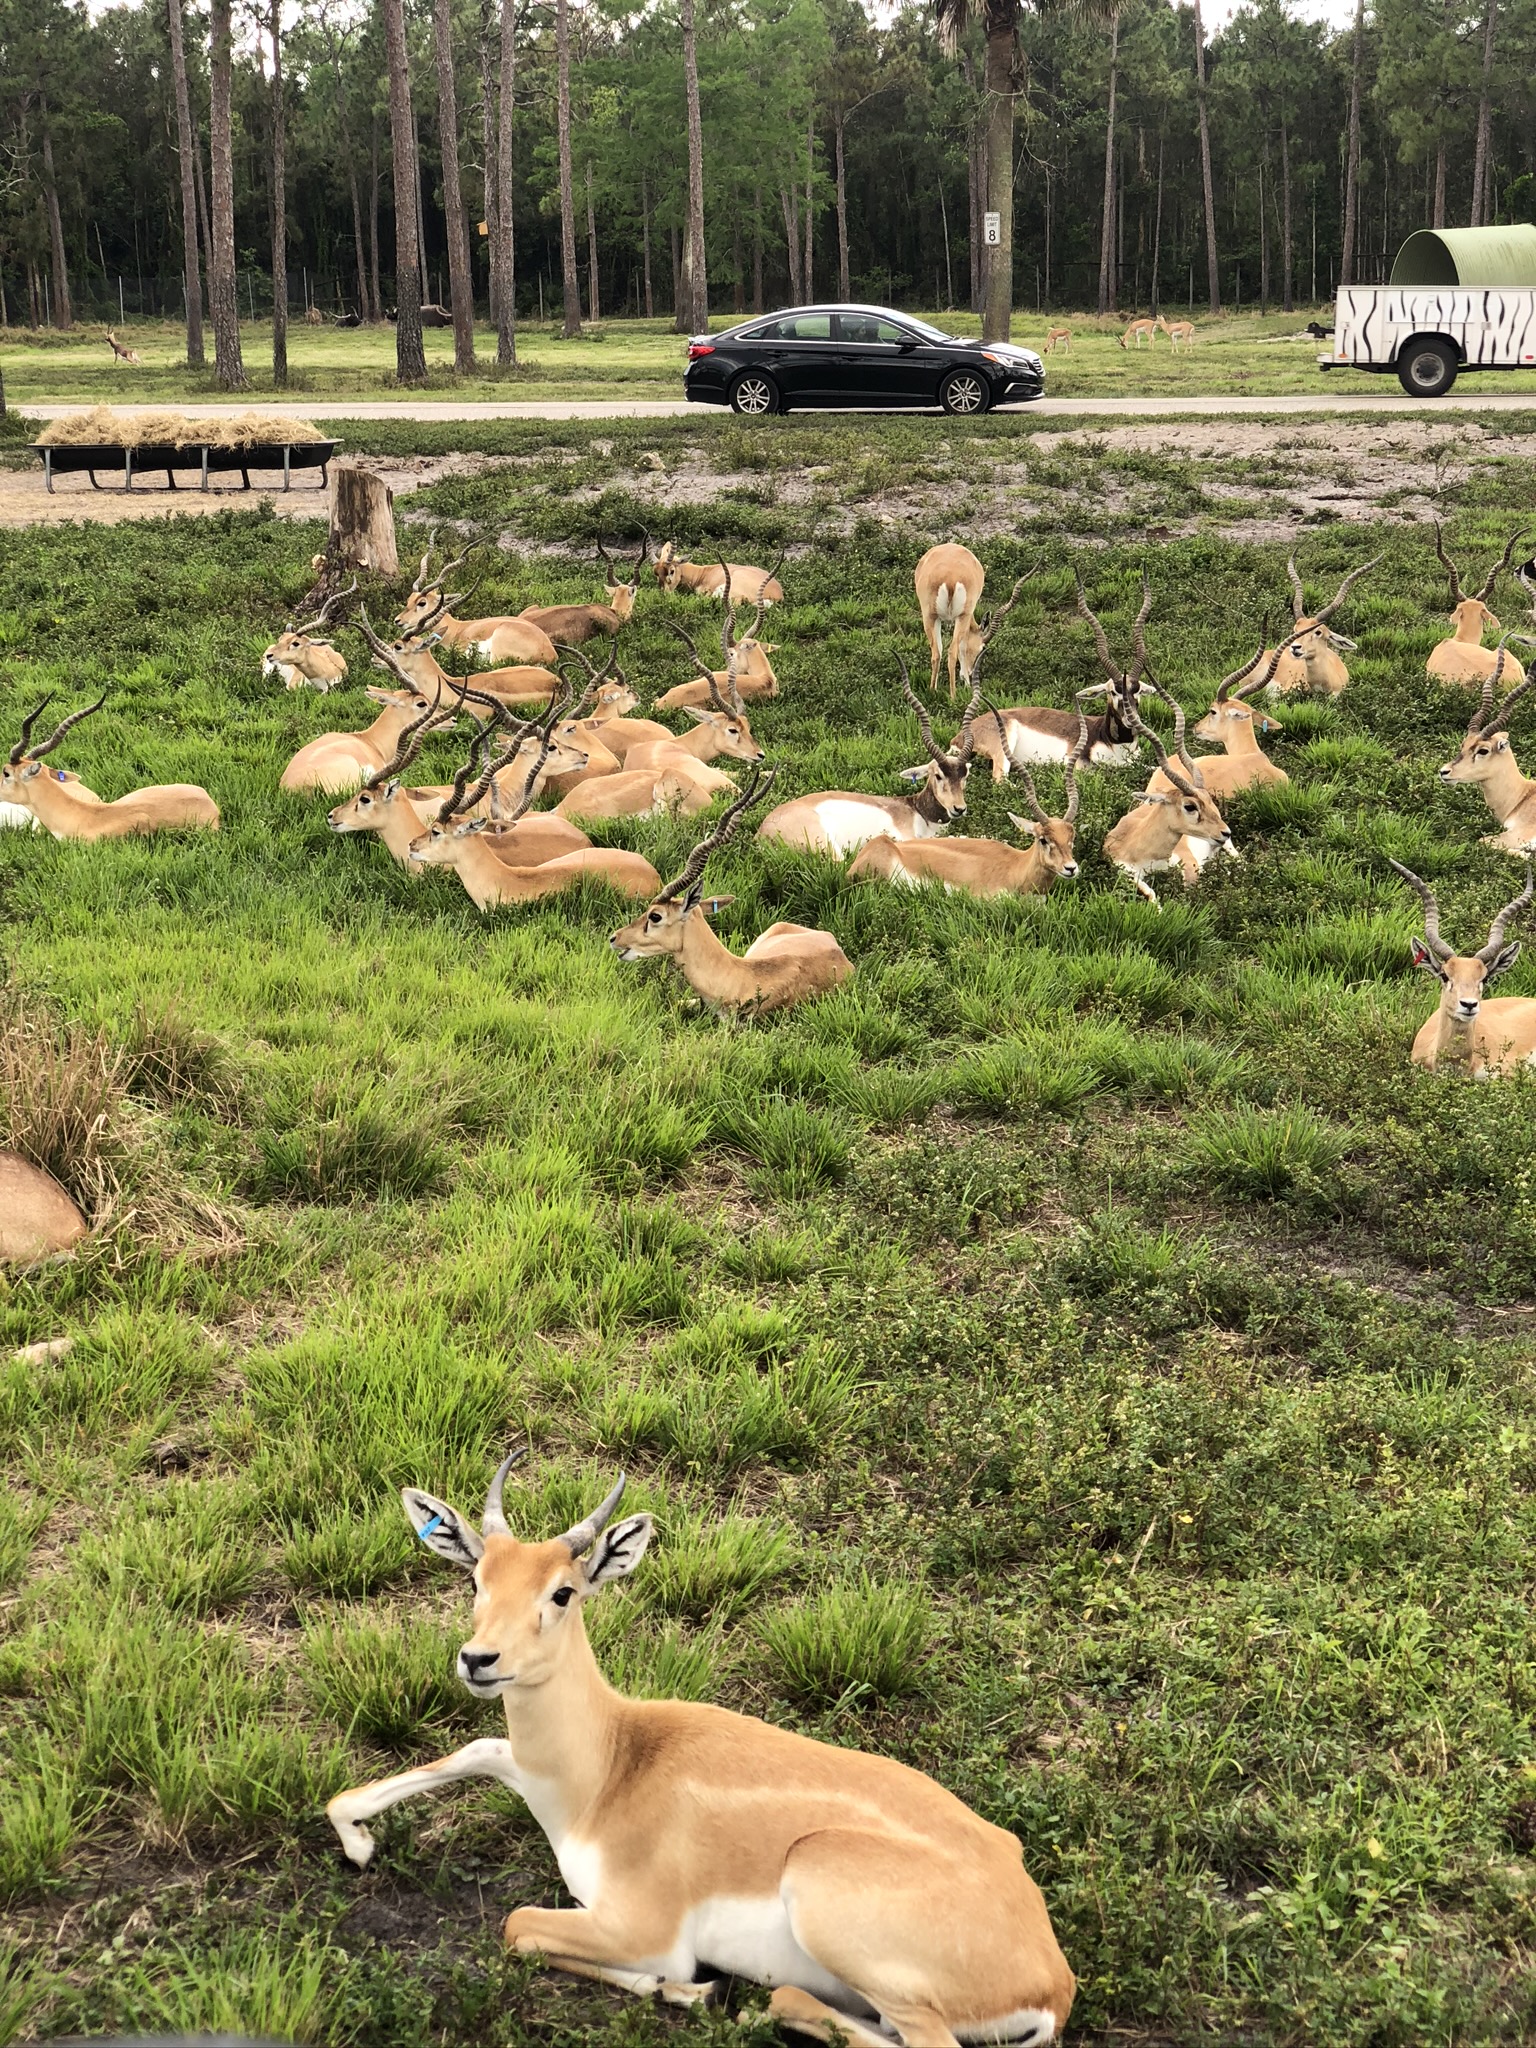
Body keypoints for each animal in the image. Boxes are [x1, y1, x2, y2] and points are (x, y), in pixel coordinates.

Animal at [326, 1451, 1074, 2042]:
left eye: (563, 1591)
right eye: (478, 1579)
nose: (480, 1659)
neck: (609, 1773)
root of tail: (1051, 1981)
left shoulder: (642, 1927)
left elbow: (518, 1926)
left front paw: (688, 1988)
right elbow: (478, 1747)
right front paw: (359, 1842)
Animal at [1101, 690, 1233, 905]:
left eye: (1209, 799)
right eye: (1190, 806)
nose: (1225, 832)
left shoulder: (1189, 864)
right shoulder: (1129, 874)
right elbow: (1153, 896)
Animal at [1437, 641, 1536, 855]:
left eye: (1483, 750)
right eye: (1464, 744)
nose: (1444, 771)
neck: (1522, 798)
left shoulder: (1521, 833)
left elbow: (1483, 840)